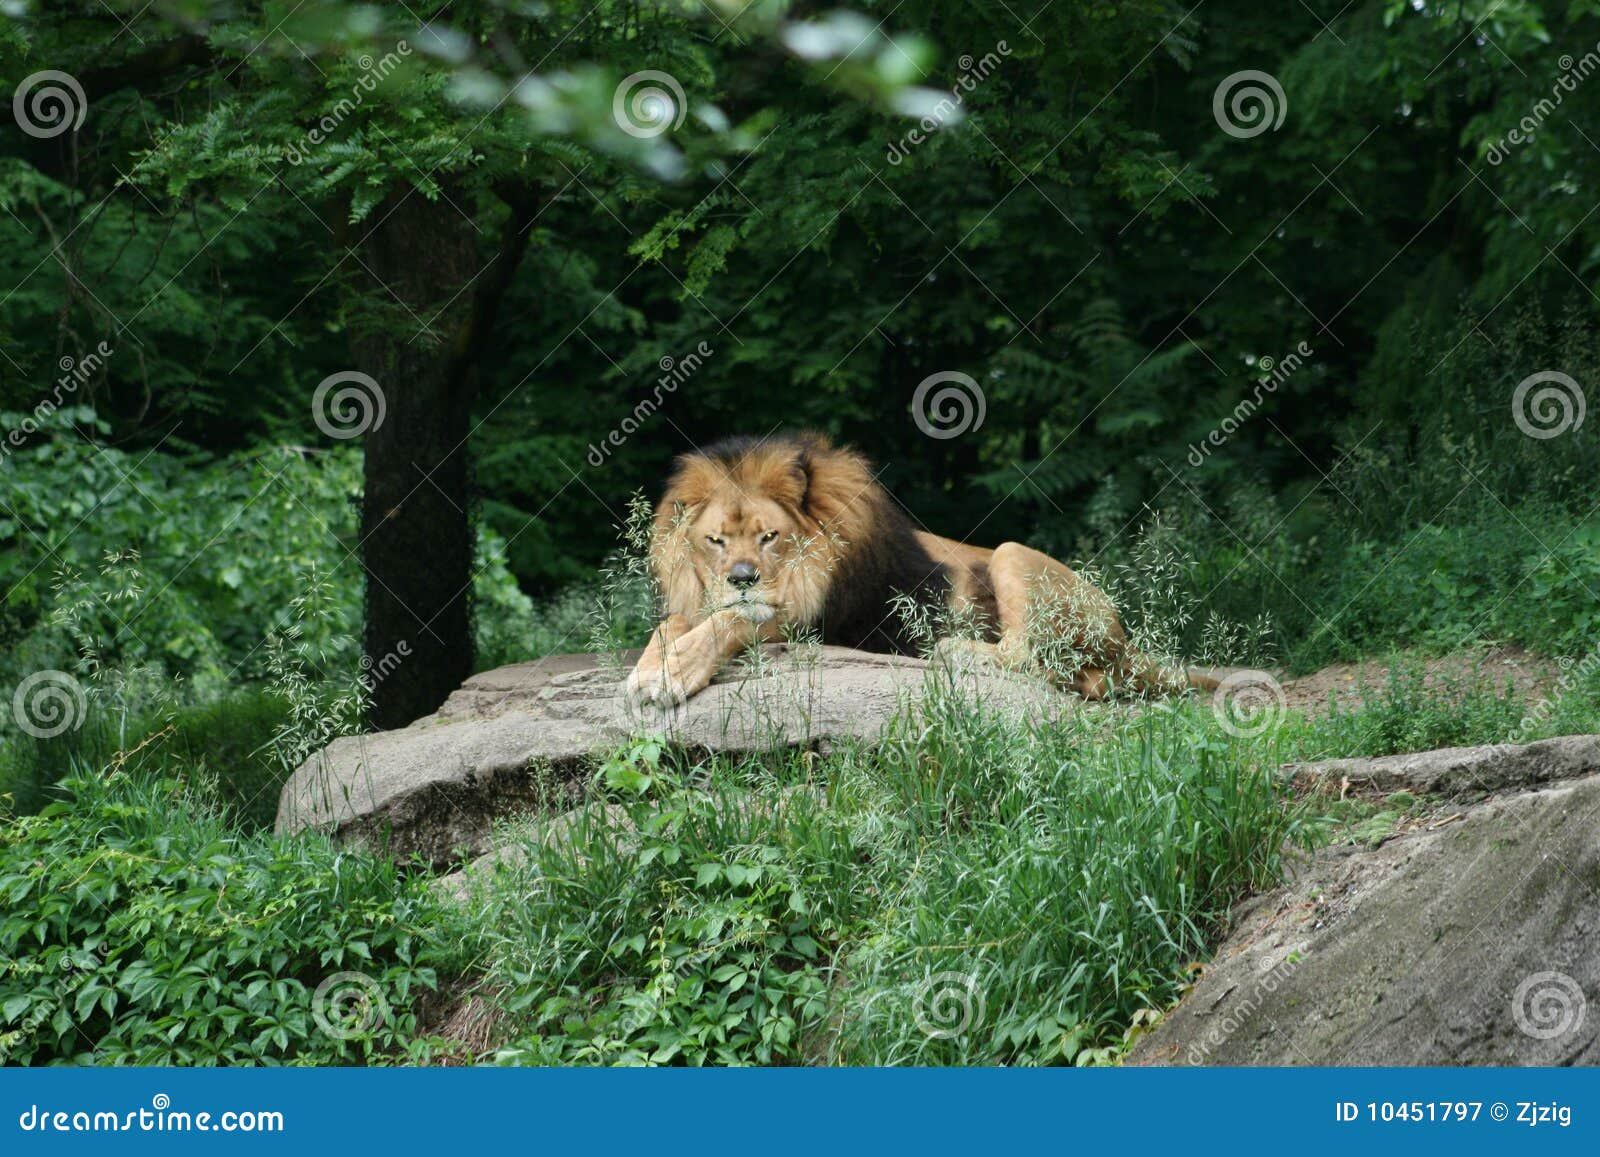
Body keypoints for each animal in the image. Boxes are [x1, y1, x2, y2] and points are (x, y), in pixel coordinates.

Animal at [624, 433, 1223, 708]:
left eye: (770, 537)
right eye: (716, 541)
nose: (742, 578)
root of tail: (1126, 638)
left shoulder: (822, 623)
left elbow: (737, 621)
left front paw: (675, 672)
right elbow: (672, 625)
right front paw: (654, 666)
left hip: (1009, 552)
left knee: (1038, 659)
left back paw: (955, 650)